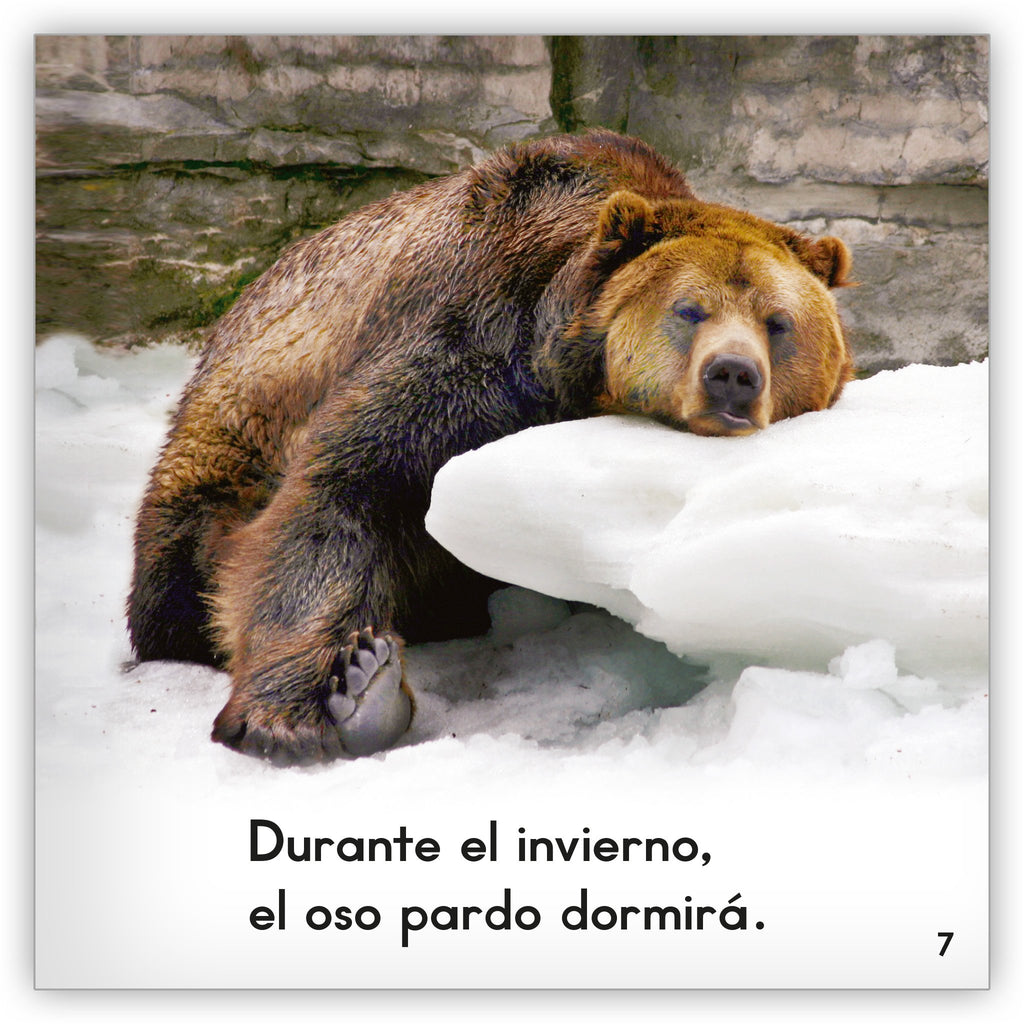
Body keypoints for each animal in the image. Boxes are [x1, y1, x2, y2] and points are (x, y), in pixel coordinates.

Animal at [128, 129, 854, 765]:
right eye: (689, 309)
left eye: (778, 321)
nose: (732, 374)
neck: (561, 374)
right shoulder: (460, 350)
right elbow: (340, 495)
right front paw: (329, 699)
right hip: (234, 418)